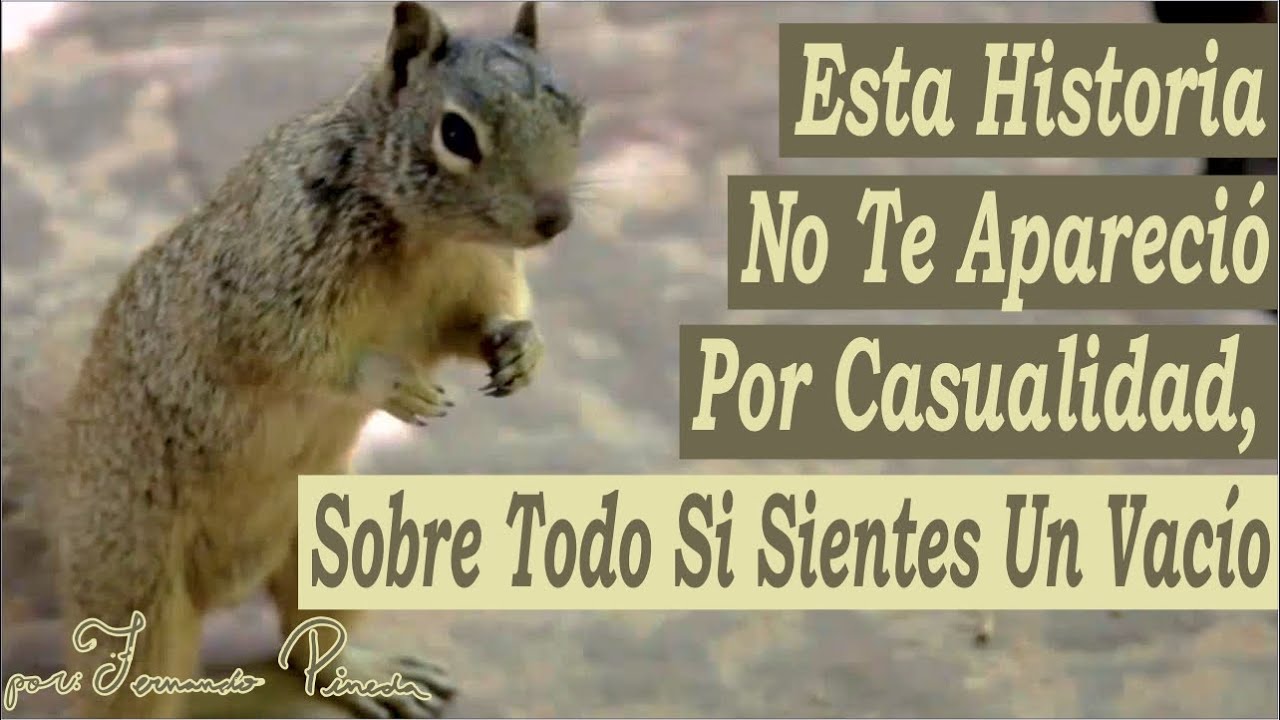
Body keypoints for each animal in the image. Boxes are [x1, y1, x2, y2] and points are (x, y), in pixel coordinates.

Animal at [38, 2, 583, 717]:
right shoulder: (262, 290)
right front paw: (393, 384)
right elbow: (293, 352)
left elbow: (476, 325)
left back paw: (370, 674)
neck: (428, 239)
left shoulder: (470, 283)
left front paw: (522, 347)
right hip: (136, 582)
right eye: (456, 134)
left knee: (308, 651)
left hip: (329, 544)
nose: (556, 218)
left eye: (574, 109)